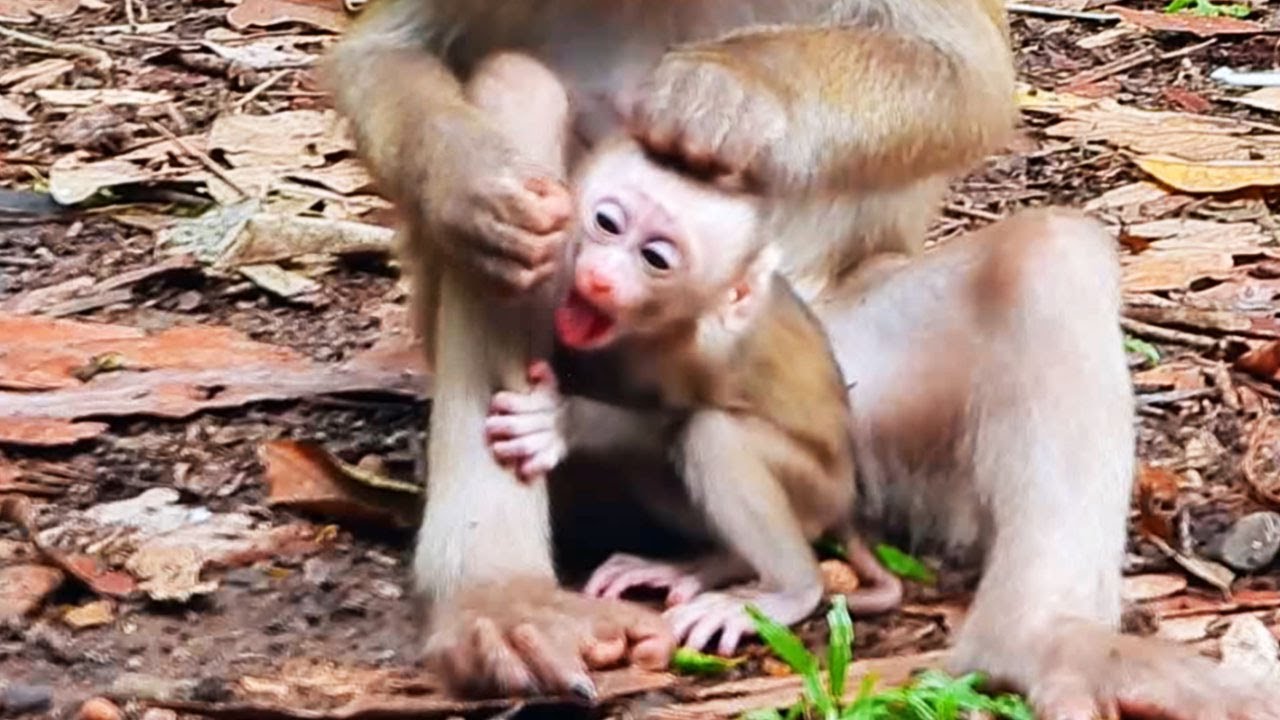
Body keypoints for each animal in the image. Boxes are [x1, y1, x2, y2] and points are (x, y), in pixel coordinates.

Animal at [325, 1, 1280, 718]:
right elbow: (381, 54)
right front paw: (469, 183)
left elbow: (968, 75)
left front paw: (733, 89)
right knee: (512, 91)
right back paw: (500, 596)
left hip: (861, 406)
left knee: (1048, 258)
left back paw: (1047, 640)